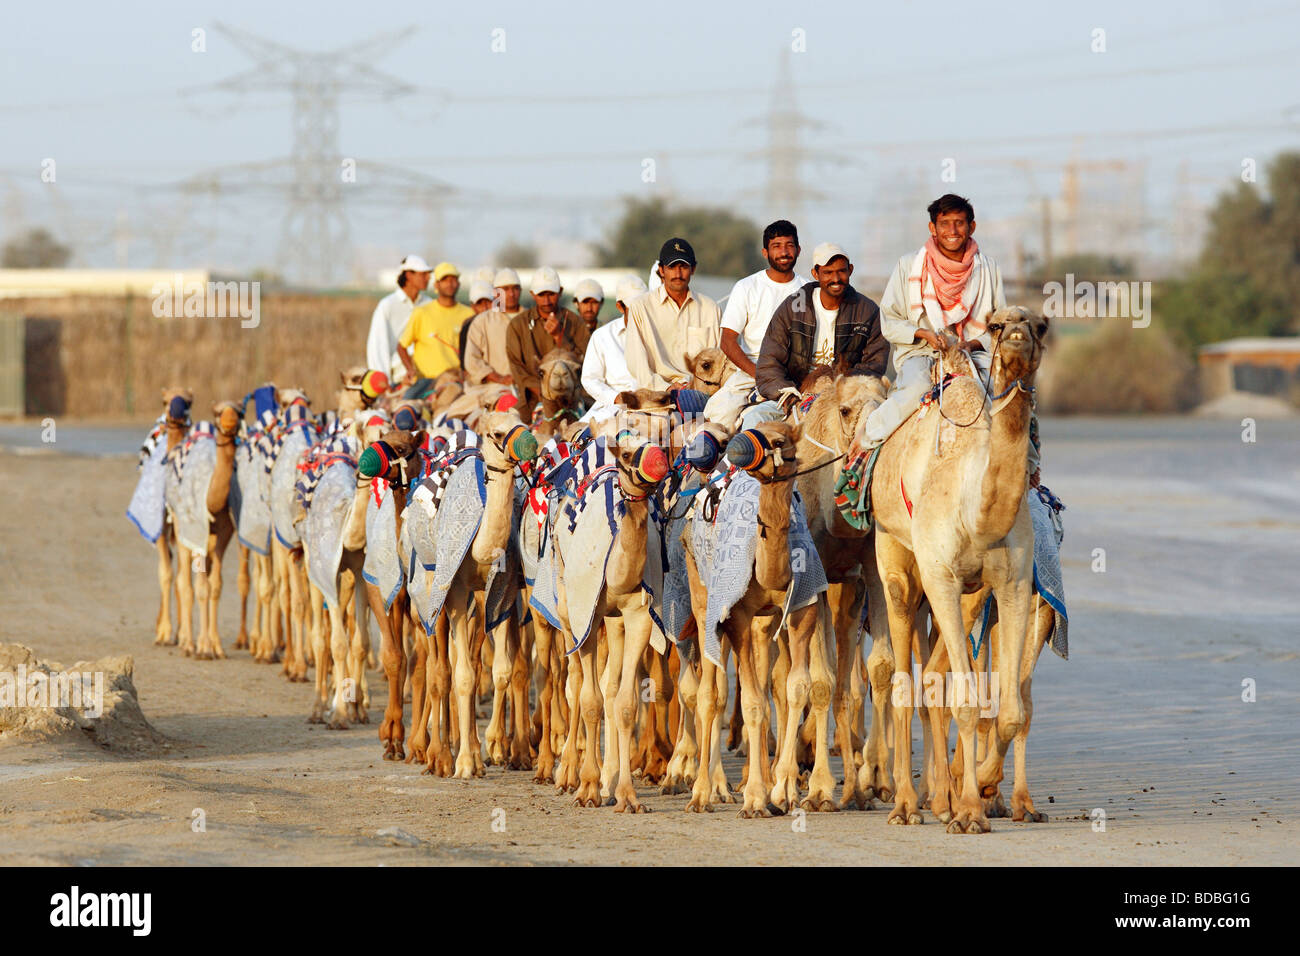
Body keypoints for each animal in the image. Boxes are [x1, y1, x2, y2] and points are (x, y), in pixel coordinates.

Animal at [869, 306, 1049, 833]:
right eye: (995, 325)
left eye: (1041, 326)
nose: (1016, 338)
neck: (978, 513)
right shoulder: (942, 578)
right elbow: (967, 703)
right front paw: (970, 811)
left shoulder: (1012, 585)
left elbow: (1008, 711)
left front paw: (982, 793)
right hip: (897, 562)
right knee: (902, 678)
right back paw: (906, 804)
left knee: (933, 677)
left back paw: (942, 798)